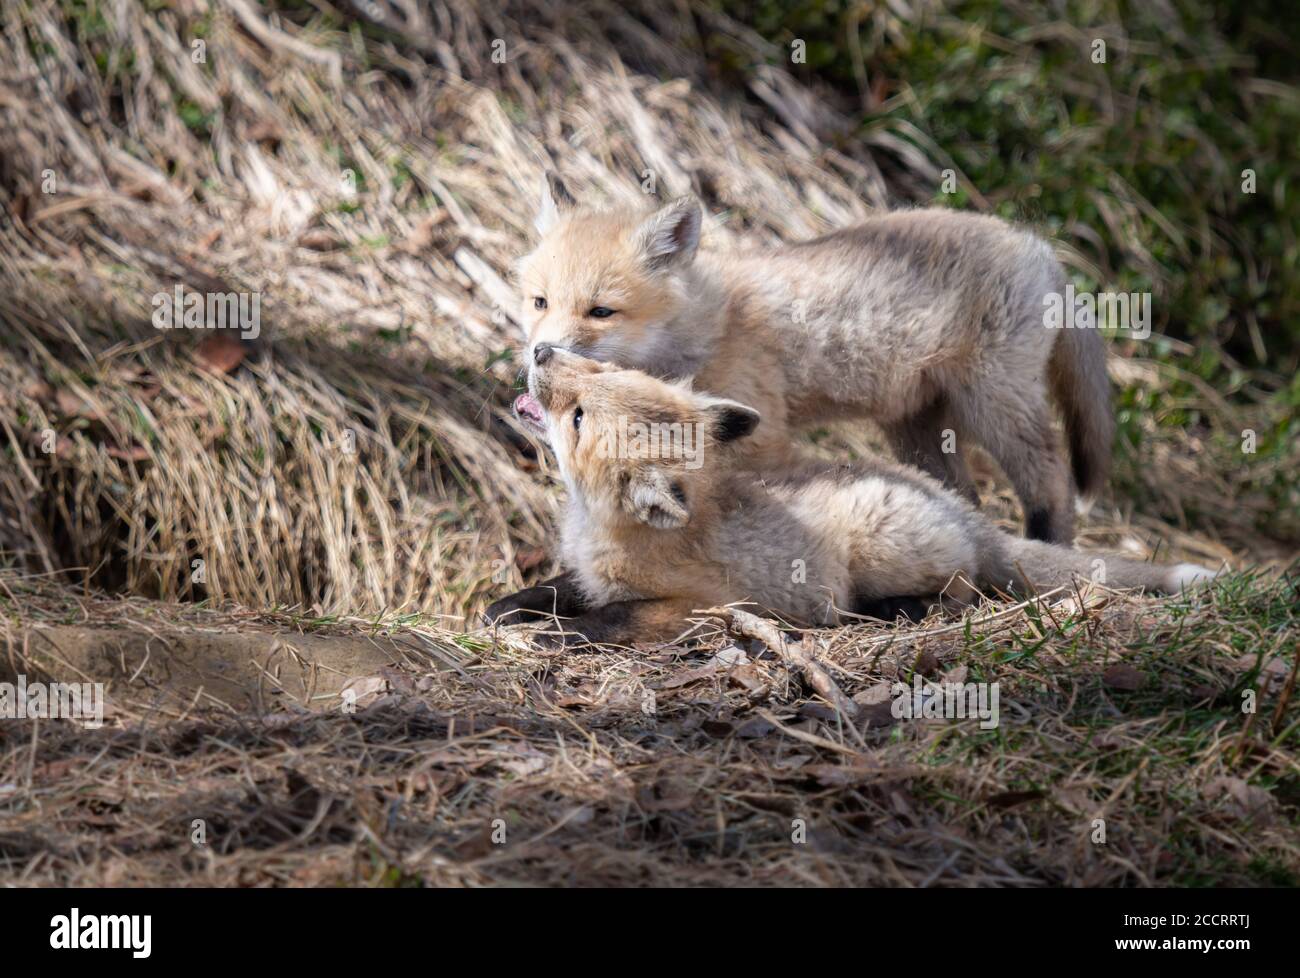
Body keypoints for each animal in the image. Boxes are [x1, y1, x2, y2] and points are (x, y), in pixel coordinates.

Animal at [485, 347, 1215, 647]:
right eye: (600, 371)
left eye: (579, 416)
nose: (542, 350)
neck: (600, 526)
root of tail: (966, 513)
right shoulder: (587, 574)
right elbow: (550, 590)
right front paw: (507, 609)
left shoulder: (698, 607)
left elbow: (608, 622)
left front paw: (553, 637)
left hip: (879, 545)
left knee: (965, 594)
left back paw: (893, 613)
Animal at [514, 174, 1113, 546]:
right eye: (539, 302)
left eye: (601, 312)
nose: (541, 351)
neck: (709, 328)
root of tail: (1037, 244)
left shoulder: (766, 440)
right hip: (916, 426)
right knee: (961, 494)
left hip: (993, 403)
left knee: (1052, 478)